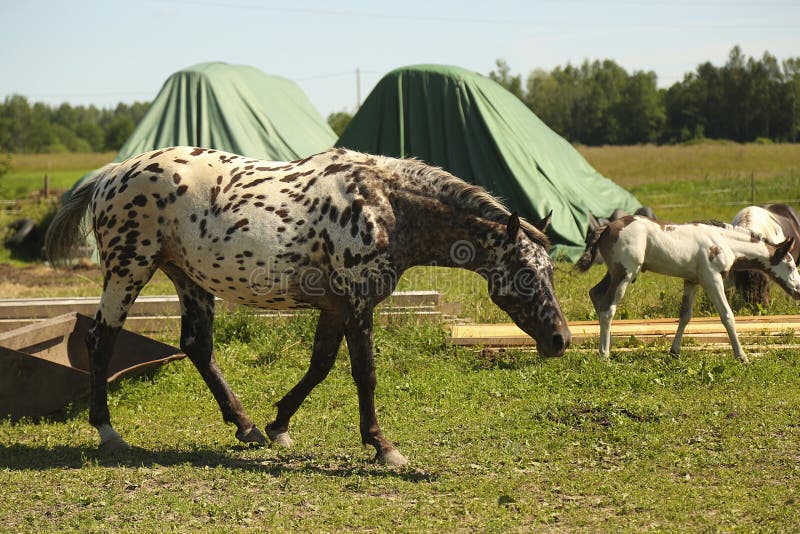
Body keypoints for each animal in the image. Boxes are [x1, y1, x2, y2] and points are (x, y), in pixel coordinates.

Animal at [45, 146, 571, 466]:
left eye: (550, 269)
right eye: (526, 273)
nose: (560, 339)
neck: (385, 206)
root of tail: (109, 176)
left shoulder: (336, 308)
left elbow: (320, 365)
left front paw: (278, 425)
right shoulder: (358, 304)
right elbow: (364, 373)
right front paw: (383, 446)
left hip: (187, 278)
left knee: (197, 346)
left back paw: (246, 427)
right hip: (128, 271)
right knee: (101, 339)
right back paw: (108, 432)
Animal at [576, 215, 800, 363]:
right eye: (790, 265)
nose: (798, 291)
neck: (723, 241)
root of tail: (606, 227)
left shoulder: (691, 281)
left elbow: (685, 315)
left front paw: (674, 351)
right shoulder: (712, 279)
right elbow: (727, 316)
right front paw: (741, 356)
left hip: (614, 273)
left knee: (595, 295)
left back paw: (609, 343)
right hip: (625, 274)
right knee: (607, 307)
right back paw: (604, 354)